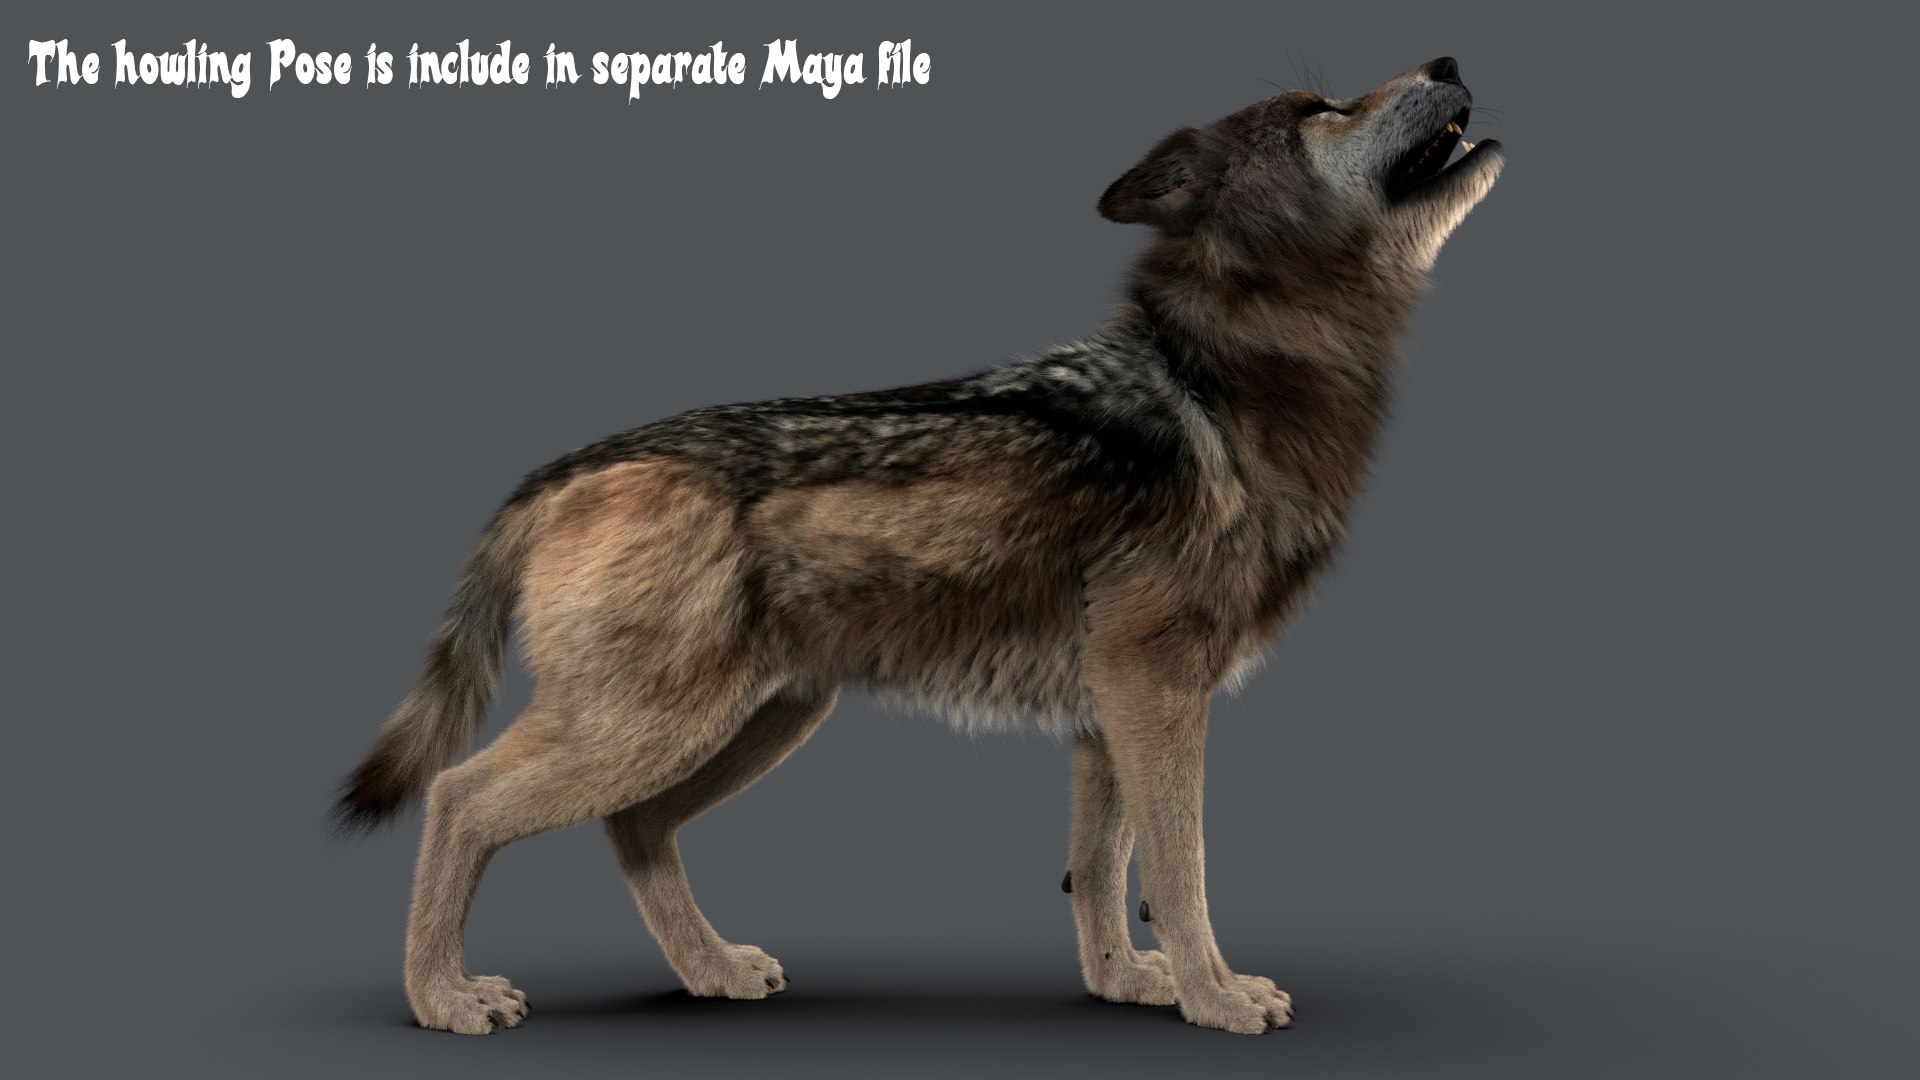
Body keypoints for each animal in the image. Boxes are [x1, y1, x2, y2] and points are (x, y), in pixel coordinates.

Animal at [336, 56, 1503, 1035]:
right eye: (1315, 107)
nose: (1448, 59)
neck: (1229, 376)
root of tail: (568, 470)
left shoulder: (1111, 712)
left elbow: (1102, 868)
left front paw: (1127, 985)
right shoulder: (1155, 691)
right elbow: (1182, 873)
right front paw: (1214, 1001)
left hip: (751, 725)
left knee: (632, 829)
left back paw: (711, 971)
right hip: (655, 728)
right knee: (460, 799)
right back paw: (443, 999)